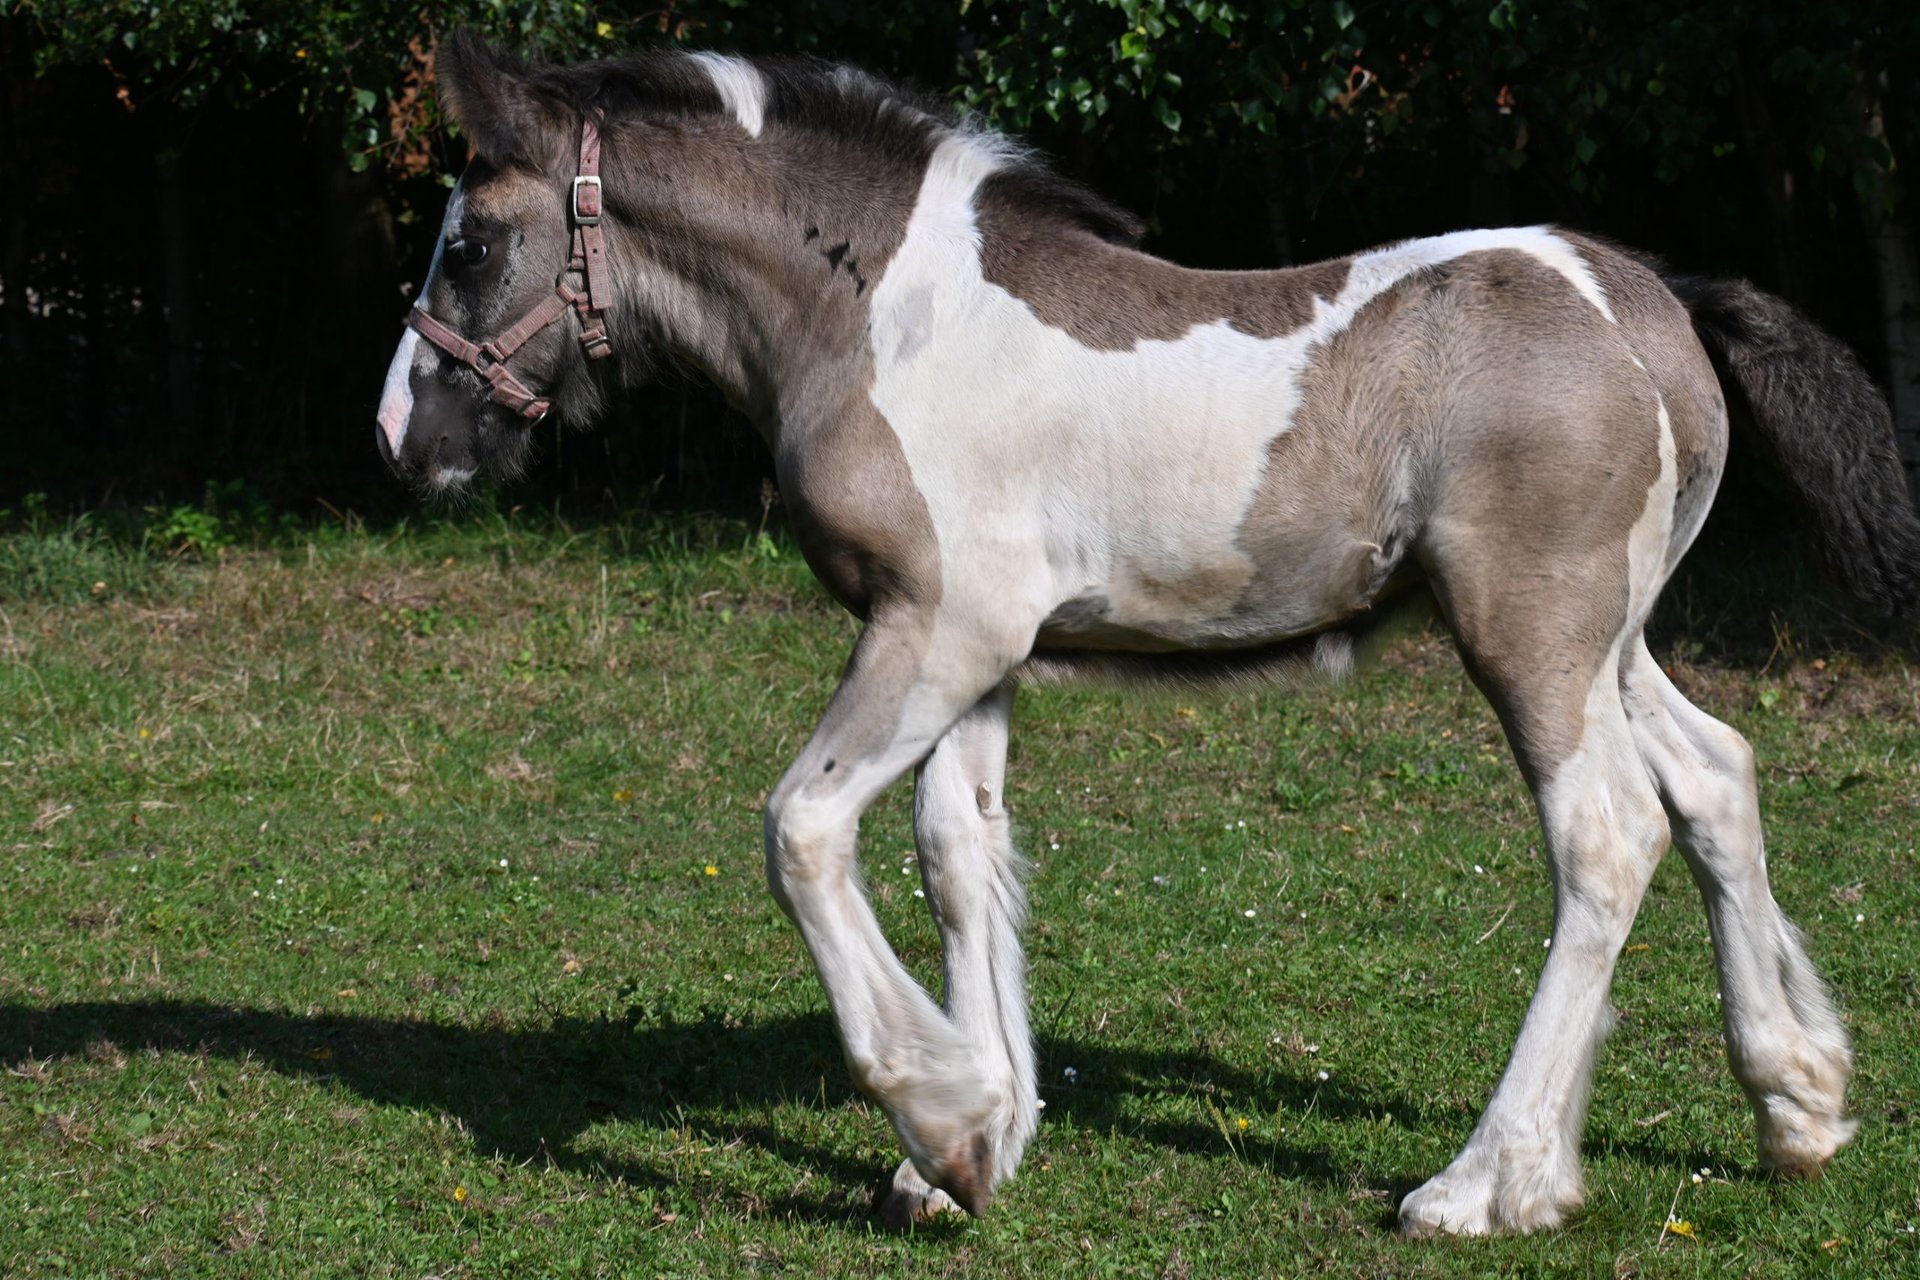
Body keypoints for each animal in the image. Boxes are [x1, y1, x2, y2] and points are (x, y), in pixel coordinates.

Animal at [375, 33, 1920, 1235]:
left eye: (469, 243)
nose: (402, 436)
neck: (887, 320)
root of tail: (1658, 298)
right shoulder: (978, 655)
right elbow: (958, 855)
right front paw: (976, 1134)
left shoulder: (935, 630)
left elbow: (802, 830)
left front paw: (944, 1120)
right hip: (1612, 641)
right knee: (1714, 778)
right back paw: (1797, 1105)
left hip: (1529, 634)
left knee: (1606, 835)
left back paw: (1488, 1183)